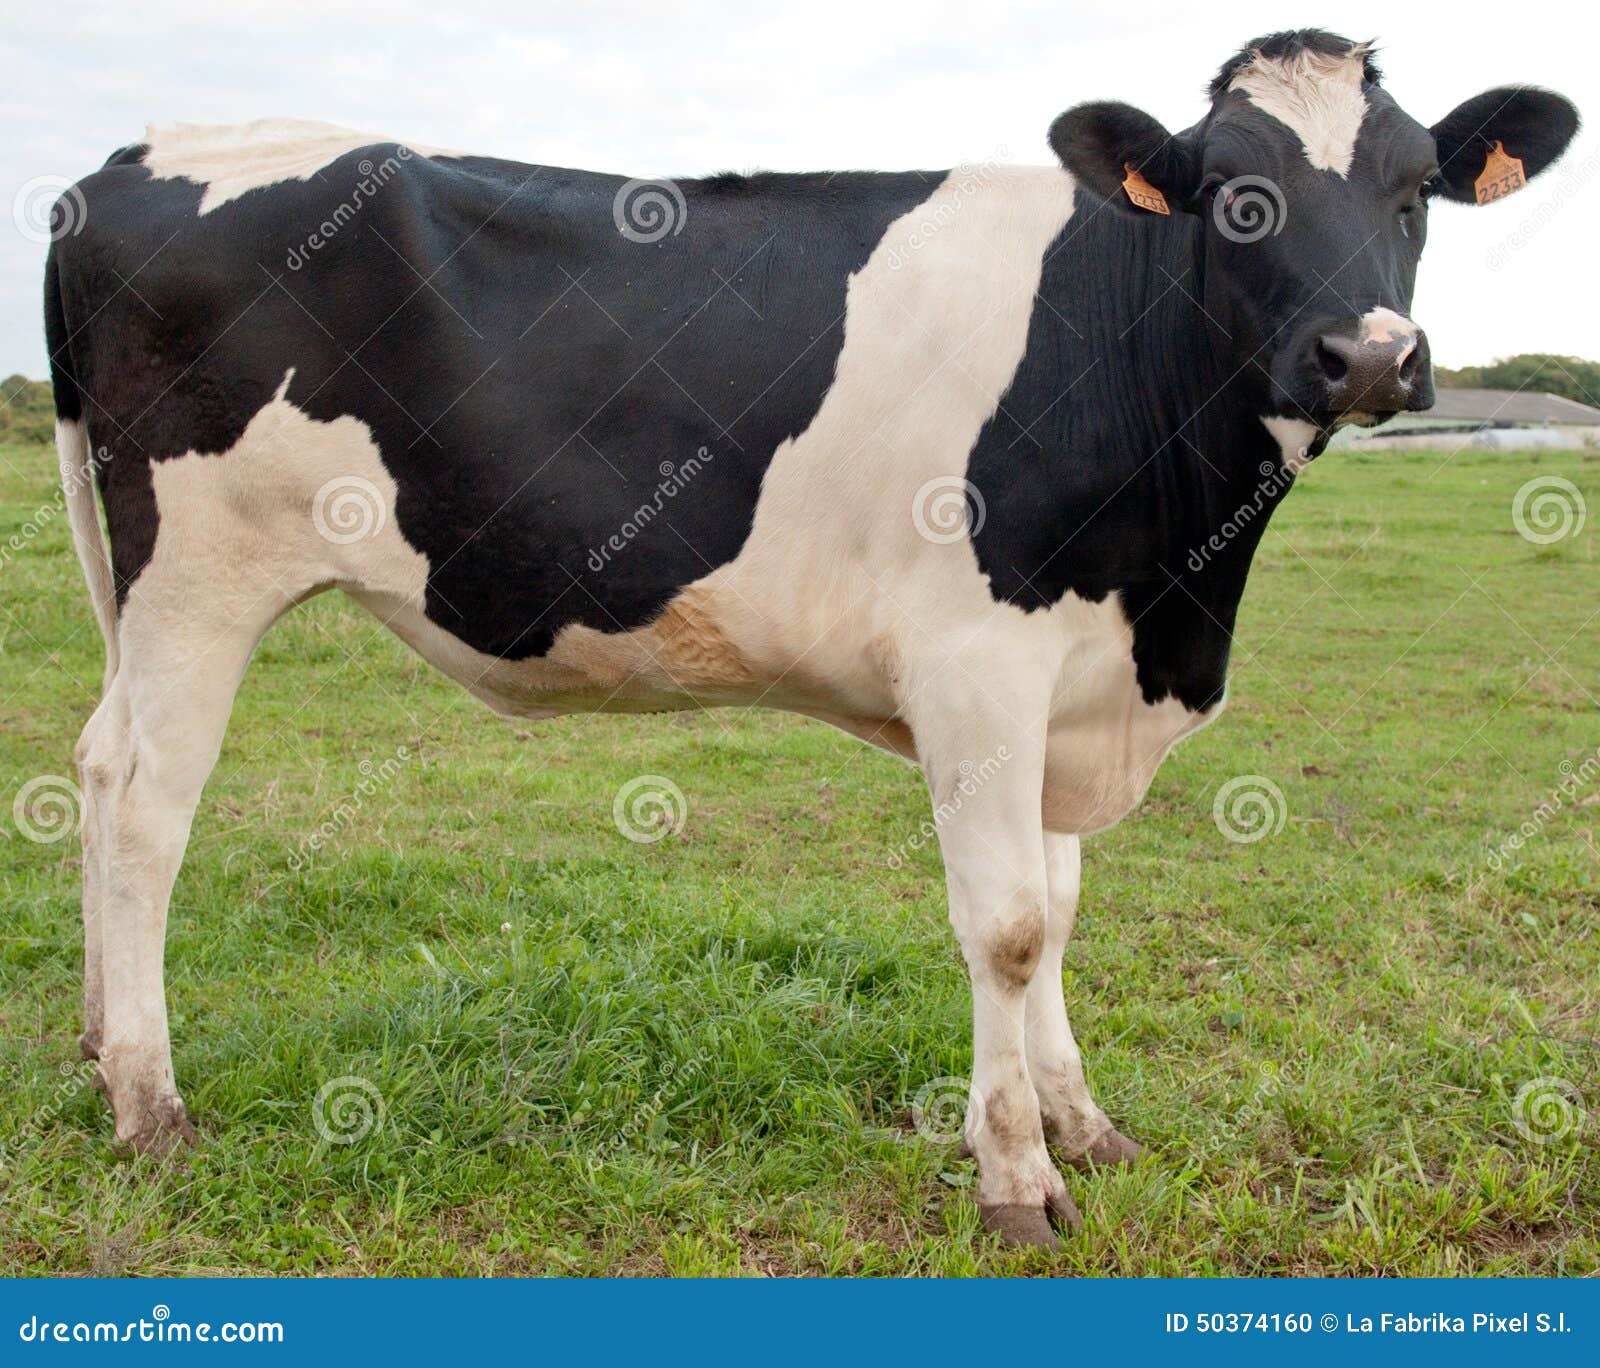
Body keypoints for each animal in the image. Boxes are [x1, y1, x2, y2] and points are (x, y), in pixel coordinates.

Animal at [45, 29, 1577, 1246]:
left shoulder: (1069, 665)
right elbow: (1008, 926)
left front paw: (1083, 1126)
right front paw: (1016, 1181)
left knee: (94, 767)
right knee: (146, 801)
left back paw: (95, 1051)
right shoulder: (976, 664)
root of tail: (127, 158)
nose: (1370, 356)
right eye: (1237, 199)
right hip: (196, 575)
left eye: (1412, 189)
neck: (1173, 597)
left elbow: (1062, 908)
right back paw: (151, 1103)